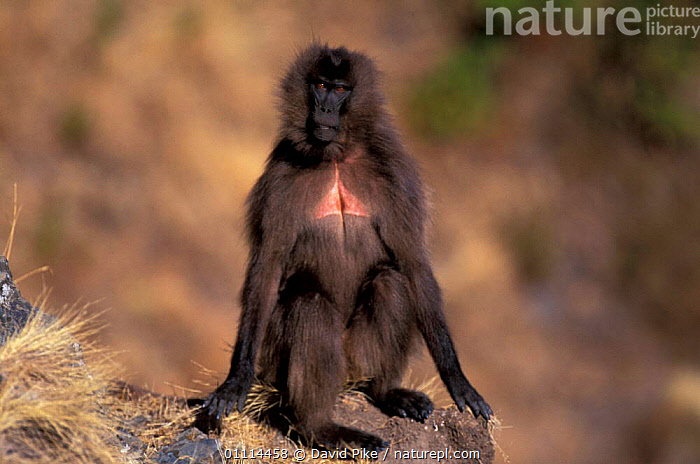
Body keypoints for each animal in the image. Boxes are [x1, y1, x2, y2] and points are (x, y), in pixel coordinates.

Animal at [201, 43, 492, 452]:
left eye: (340, 90)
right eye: (320, 85)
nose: (324, 110)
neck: (335, 156)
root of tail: (347, 378)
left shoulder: (396, 175)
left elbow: (414, 265)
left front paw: (458, 380)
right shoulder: (280, 177)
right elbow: (267, 270)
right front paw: (235, 380)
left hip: (355, 357)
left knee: (390, 283)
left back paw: (384, 391)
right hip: (279, 362)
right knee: (309, 303)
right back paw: (319, 427)